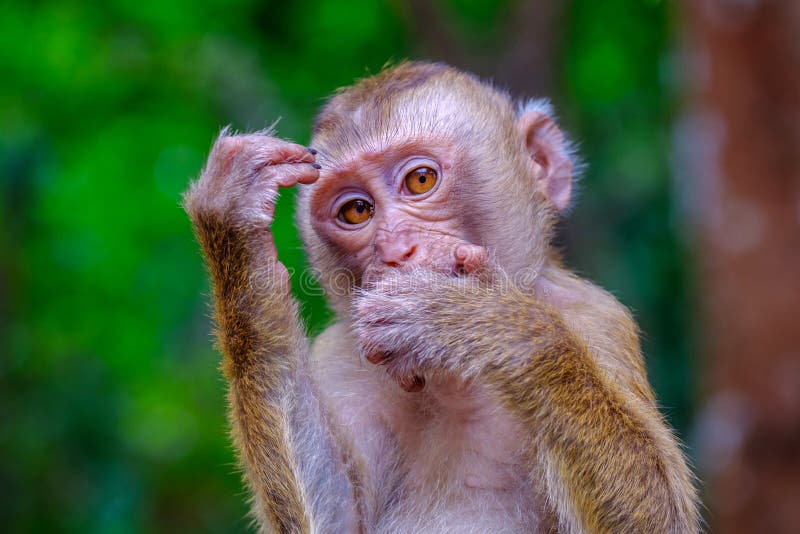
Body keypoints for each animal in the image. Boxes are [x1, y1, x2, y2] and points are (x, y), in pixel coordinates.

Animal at [183, 62, 699, 533]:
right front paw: (235, 230)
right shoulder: (341, 356)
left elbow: (660, 519)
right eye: (356, 211)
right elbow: (339, 523)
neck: (455, 384)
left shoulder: (597, 319)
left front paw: (477, 320)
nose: (395, 251)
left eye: (420, 181)